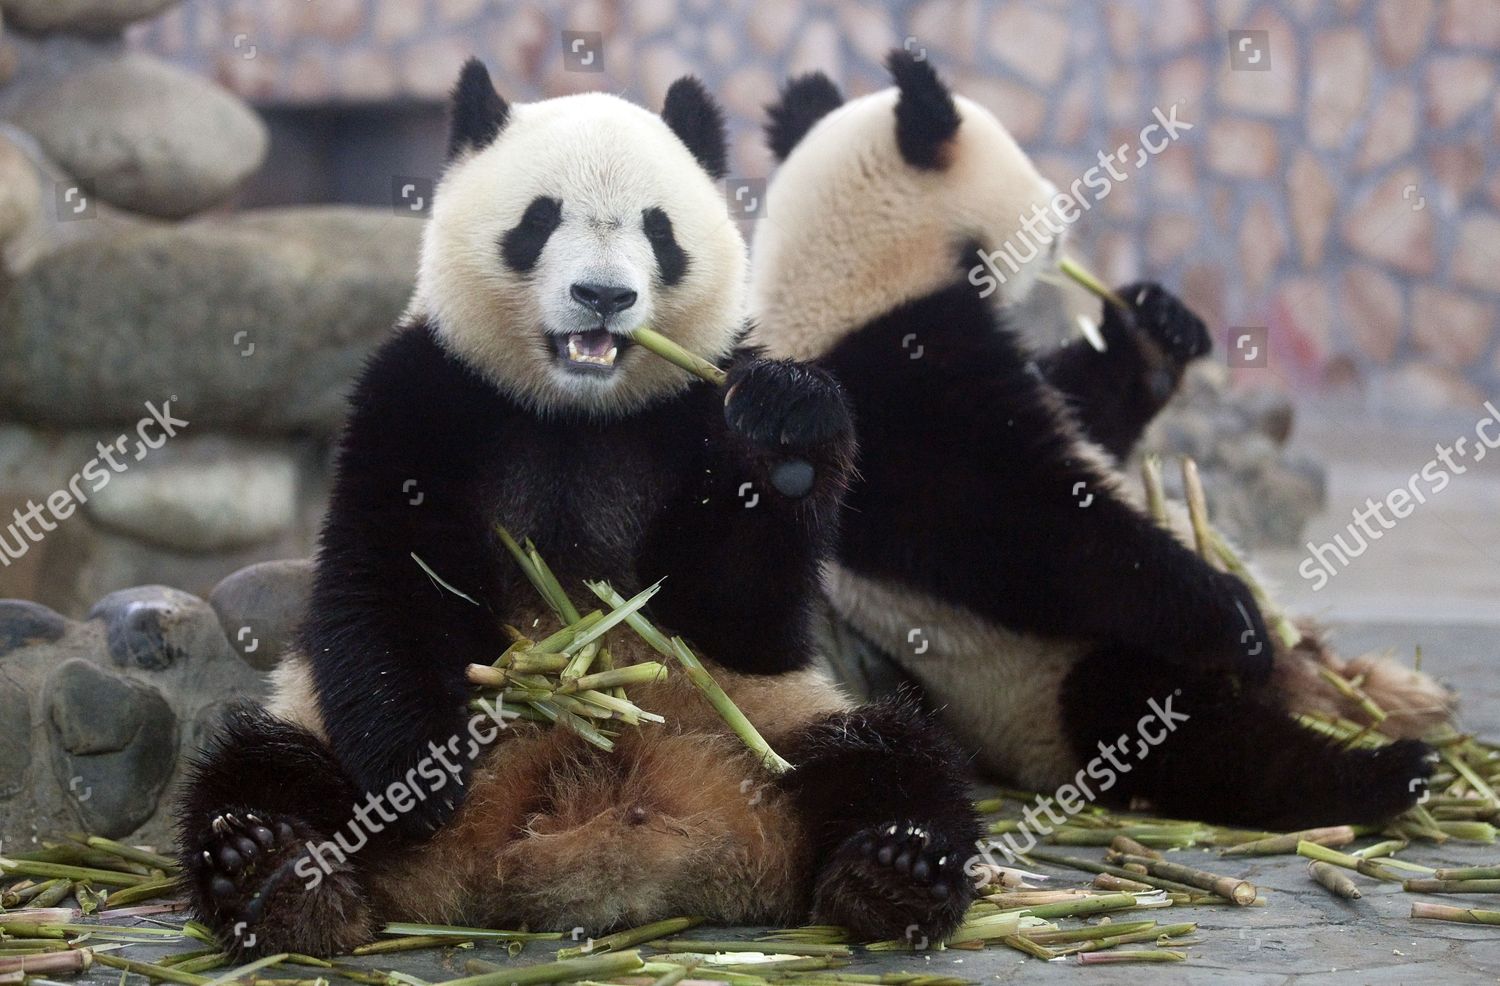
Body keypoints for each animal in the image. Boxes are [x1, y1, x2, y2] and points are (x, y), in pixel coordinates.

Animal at [176, 60, 981, 958]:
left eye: (659, 230)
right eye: (539, 218)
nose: (602, 294)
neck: (577, 412)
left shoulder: (693, 408)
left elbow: (743, 613)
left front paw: (789, 424)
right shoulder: (421, 392)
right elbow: (379, 580)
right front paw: (422, 779)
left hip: (770, 722)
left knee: (891, 761)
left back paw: (892, 873)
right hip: (318, 721)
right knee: (260, 765)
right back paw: (277, 874)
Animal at [746, 50, 1436, 833]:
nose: (1060, 224)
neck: (851, 276)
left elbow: (1083, 409)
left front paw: (1157, 326)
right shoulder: (892, 397)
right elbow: (1032, 530)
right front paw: (1230, 614)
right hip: (1047, 688)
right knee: (1172, 725)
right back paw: (1374, 773)